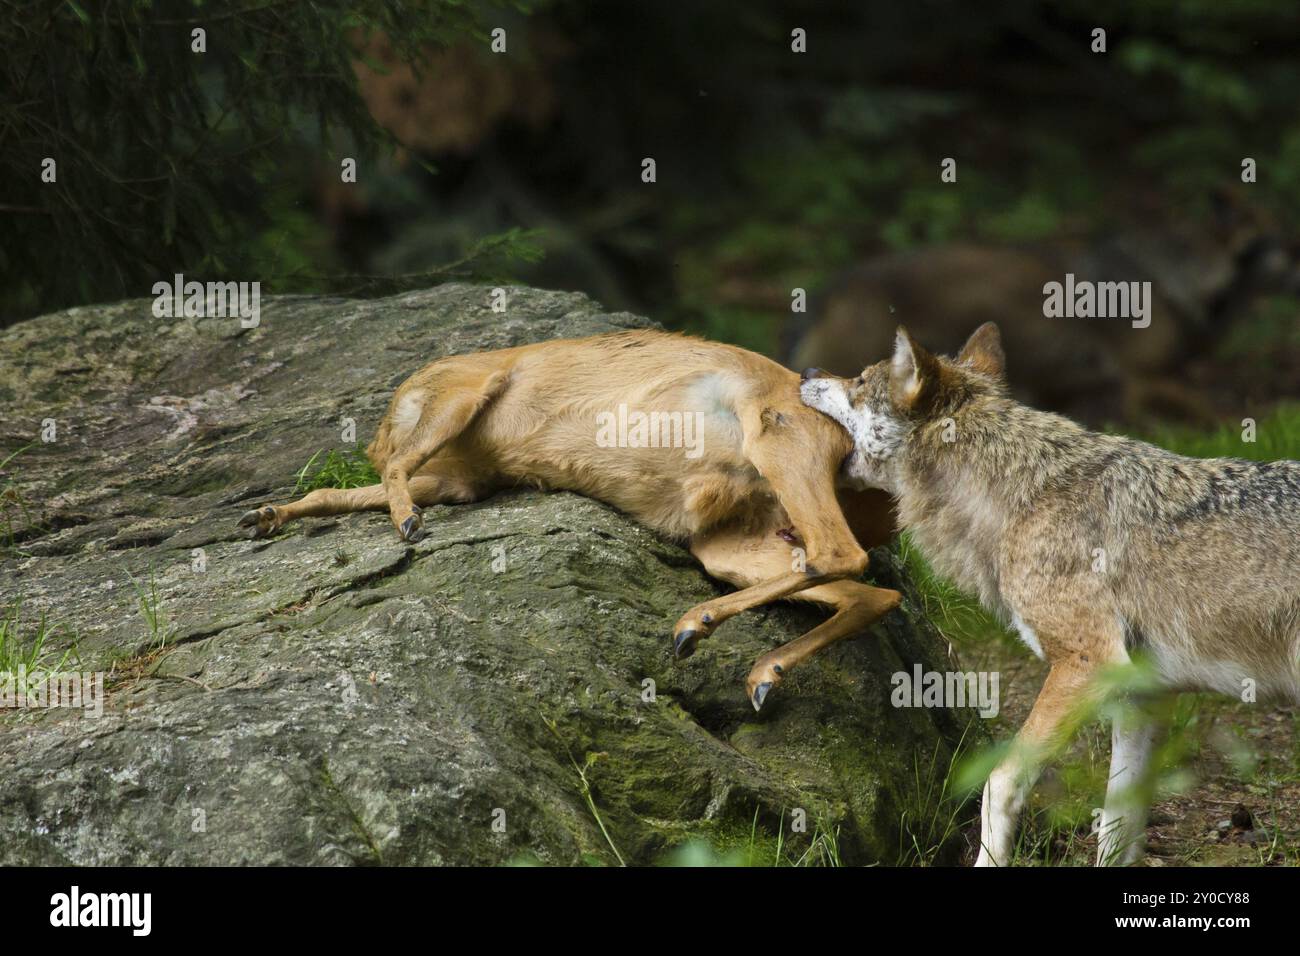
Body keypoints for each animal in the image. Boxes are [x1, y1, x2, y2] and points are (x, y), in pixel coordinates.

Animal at [800, 323, 1300, 865]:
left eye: (858, 380)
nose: (807, 371)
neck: (1016, 500)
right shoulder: (1141, 693)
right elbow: (1117, 826)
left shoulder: (1086, 664)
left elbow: (999, 783)